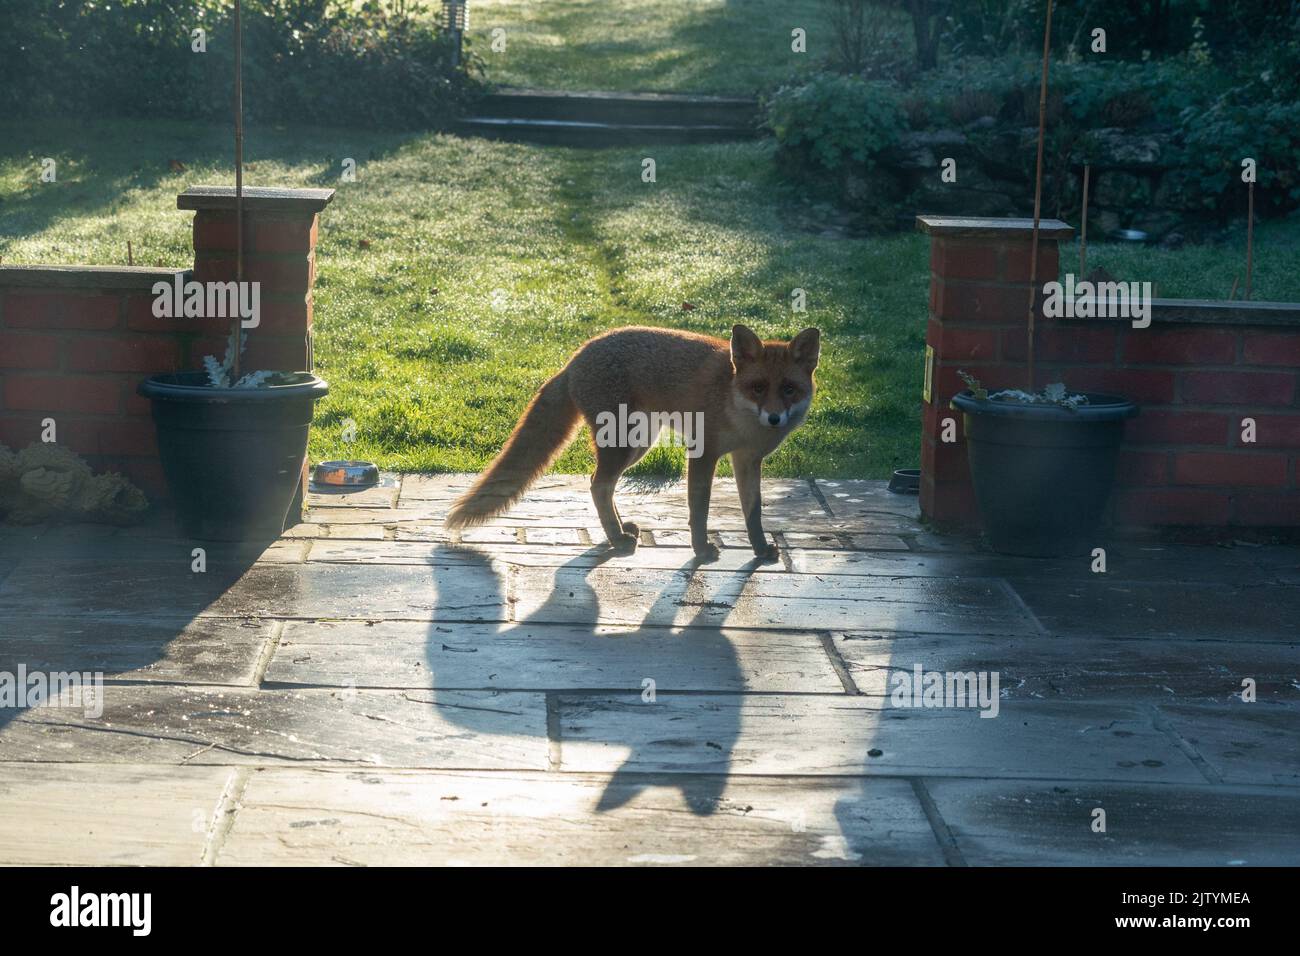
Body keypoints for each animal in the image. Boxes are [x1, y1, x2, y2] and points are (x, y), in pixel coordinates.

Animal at [445, 324, 820, 563]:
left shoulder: (747, 460)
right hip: (623, 444)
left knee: (601, 484)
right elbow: (698, 511)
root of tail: (574, 358)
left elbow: (753, 512)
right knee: (598, 485)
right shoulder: (703, 452)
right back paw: (616, 539)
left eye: (789, 389)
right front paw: (700, 550)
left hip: (638, 445)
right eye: (757, 387)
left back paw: (620, 528)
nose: (774, 418)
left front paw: (760, 550)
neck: (736, 408)